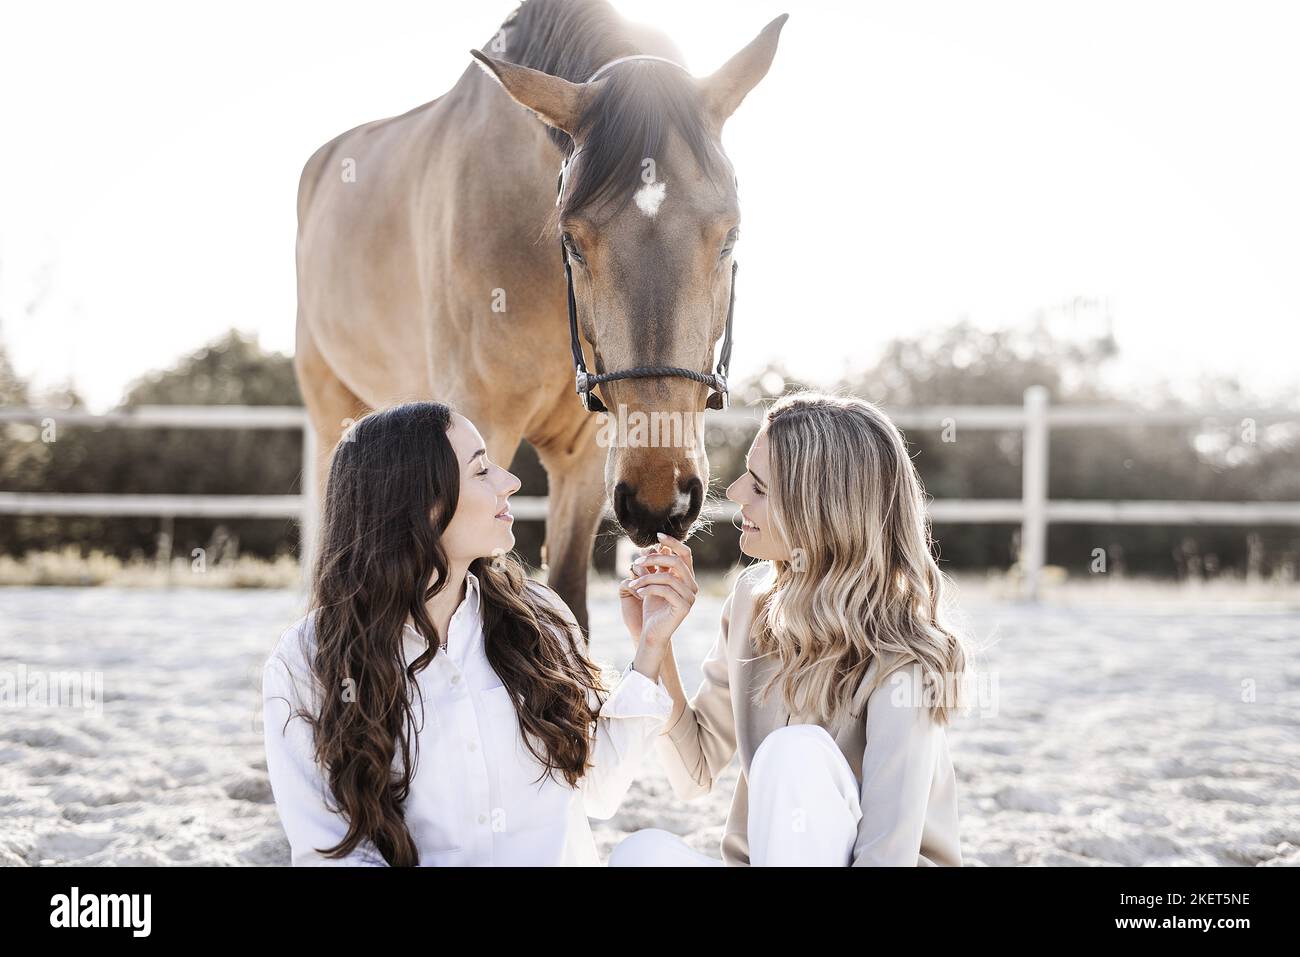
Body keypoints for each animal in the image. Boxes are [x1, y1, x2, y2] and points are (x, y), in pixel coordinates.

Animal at [293, 0, 787, 632]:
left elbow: (569, 594)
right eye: (570, 240)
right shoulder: (483, 427)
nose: (662, 497)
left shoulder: (589, 457)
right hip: (330, 407)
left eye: (731, 236)